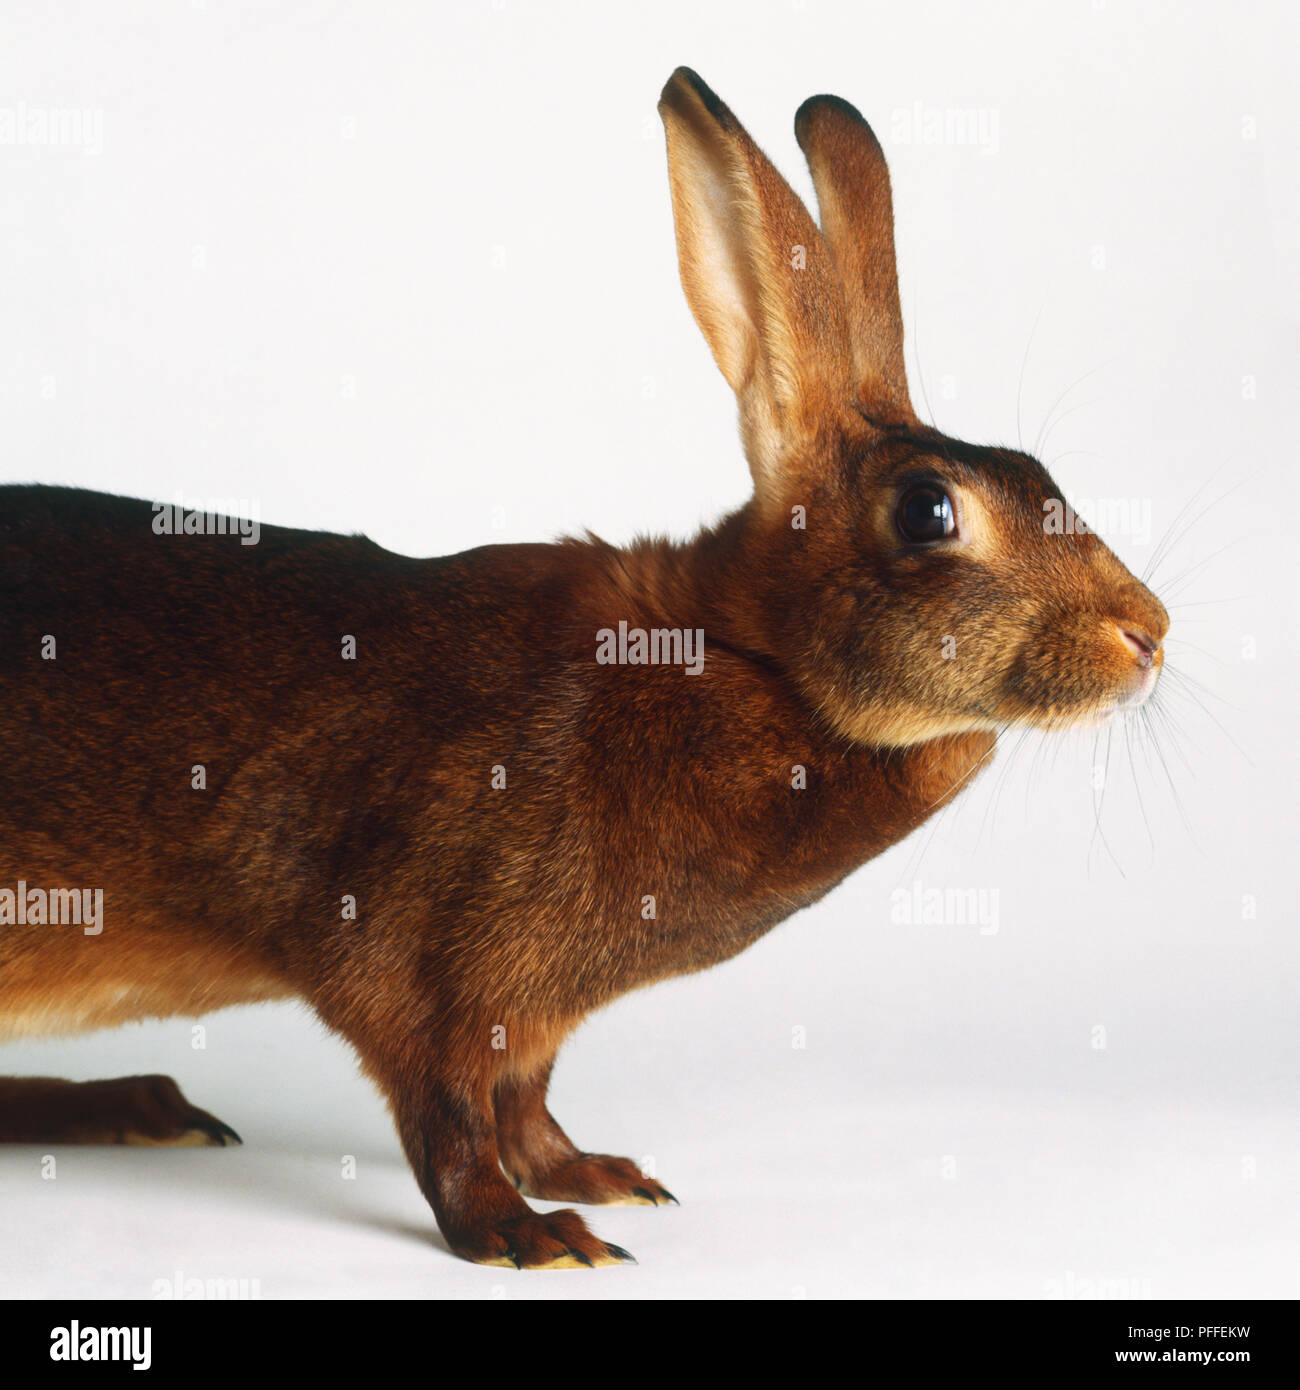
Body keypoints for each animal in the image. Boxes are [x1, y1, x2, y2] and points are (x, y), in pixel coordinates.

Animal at [0, 67, 1168, 1269]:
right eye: (930, 510)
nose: (1150, 634)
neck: (746, 658)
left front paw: (598, 1177)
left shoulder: (530, 1013)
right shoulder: (417, 965)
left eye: (1040, 473)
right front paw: (530, 1235)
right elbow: (448, 1118)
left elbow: (526, 1099)